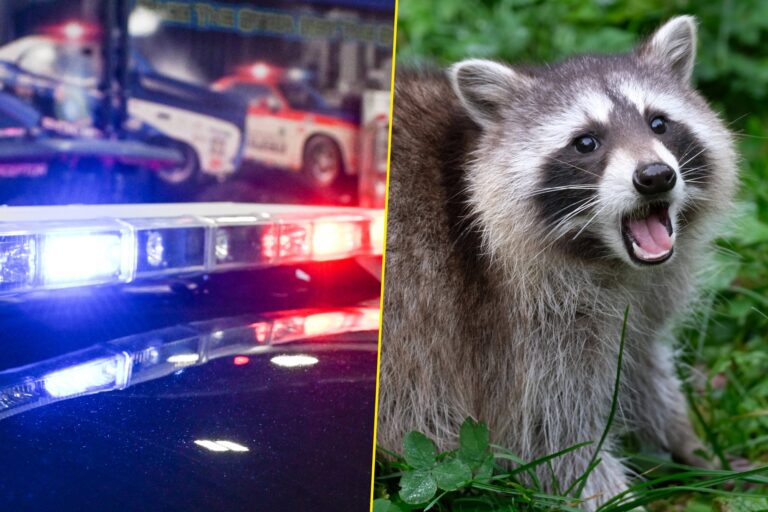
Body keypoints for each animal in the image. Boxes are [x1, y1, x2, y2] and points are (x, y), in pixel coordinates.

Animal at [378, 16, 738, 508]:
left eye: (659, 123)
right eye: (585, 142)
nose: (655, 176)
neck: (609, 261)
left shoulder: (640, 303)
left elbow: (641, 365)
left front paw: (687, 441)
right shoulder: (513, 330)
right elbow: (554, 439)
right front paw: (616, 496)